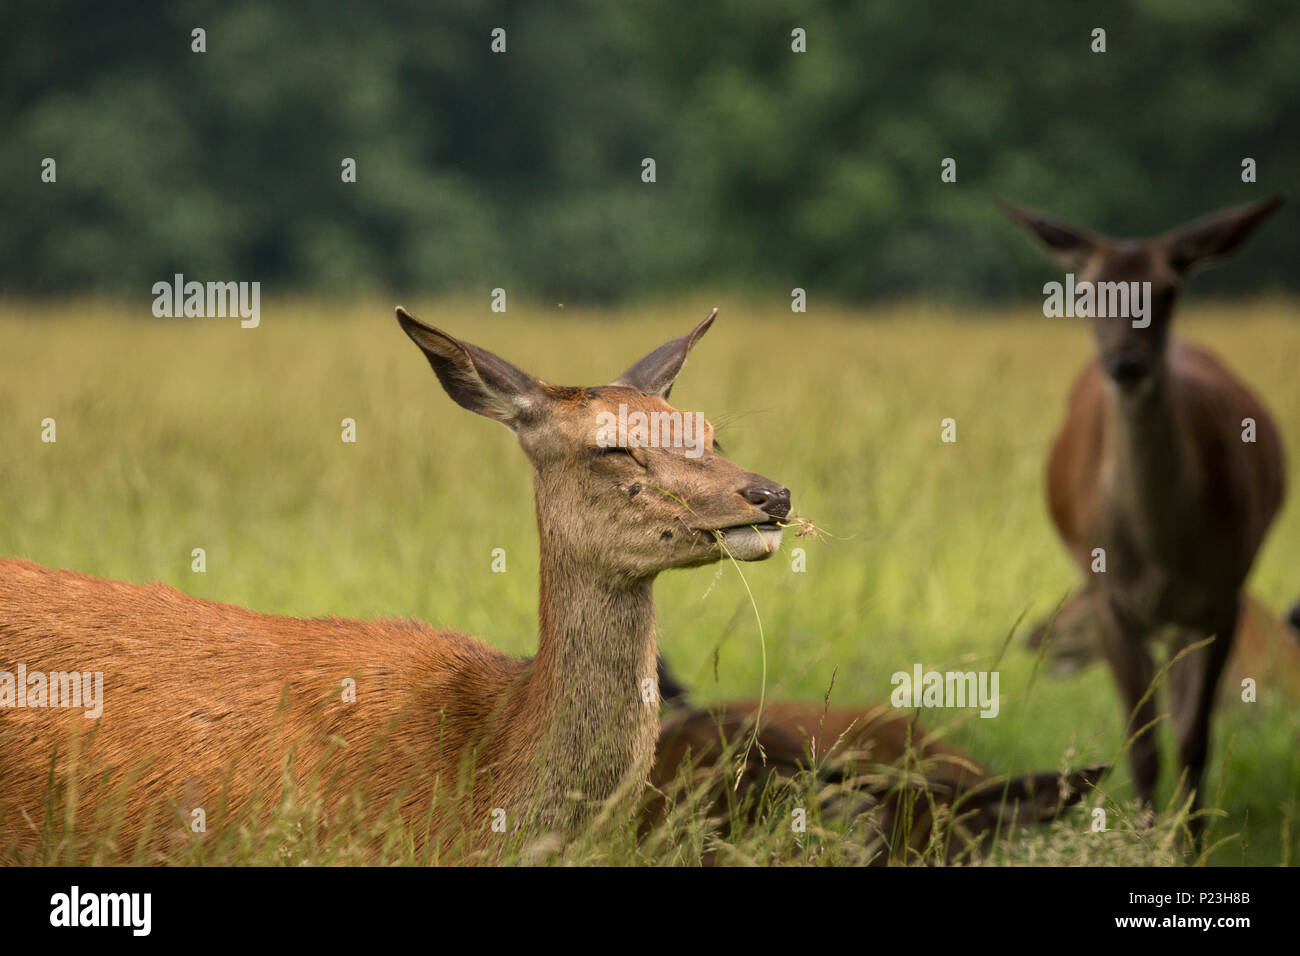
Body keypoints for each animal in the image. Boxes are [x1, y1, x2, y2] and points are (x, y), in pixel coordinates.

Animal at [1002, 196, 1286, 839]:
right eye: (1086, 291)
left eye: (1168, 290)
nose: (1128, 364)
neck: (1161, 553)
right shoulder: (1112, 600)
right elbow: (1142, 745)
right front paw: (1147, 835)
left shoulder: (1221, 598)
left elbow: (1194, 740)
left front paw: (1189, 842)